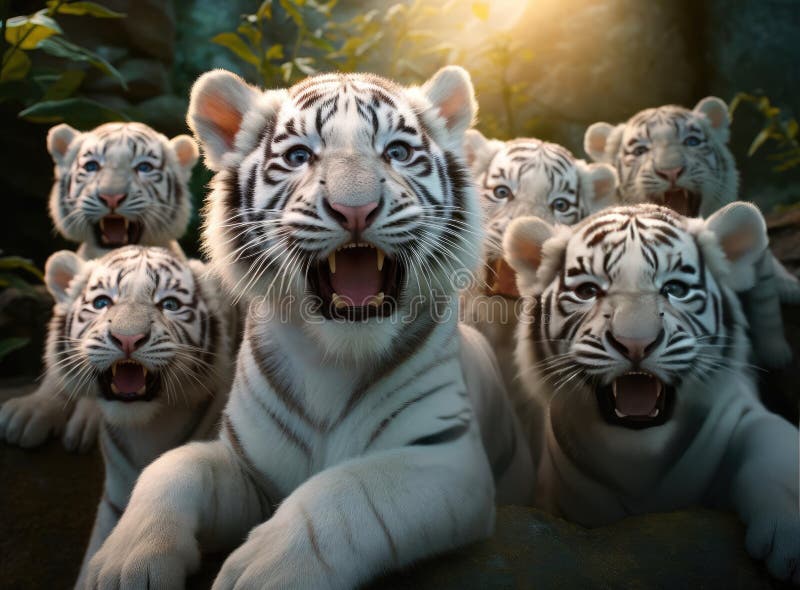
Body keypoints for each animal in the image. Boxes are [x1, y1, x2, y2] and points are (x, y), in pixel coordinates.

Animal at [85, 66, 534, 590]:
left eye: (398, 152)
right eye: (300, 156)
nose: (356, 208)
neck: (335, 359)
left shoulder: (446, 456)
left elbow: (354, 490)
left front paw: (265, 568)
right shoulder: (250, 468)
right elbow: (175, 465)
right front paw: (123, 561)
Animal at [503, 203, 800, 584]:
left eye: (675, 288)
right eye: (587, 291)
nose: (635, 343)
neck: (639, 462)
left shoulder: (741, 413)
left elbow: (773, 452)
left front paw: (788, 536)